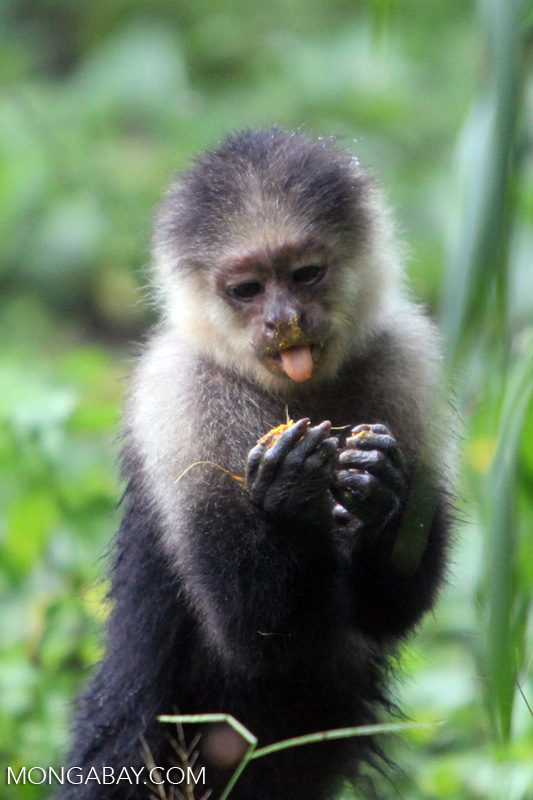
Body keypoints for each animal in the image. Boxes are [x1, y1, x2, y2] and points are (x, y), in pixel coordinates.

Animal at [59, 129, 451, 800]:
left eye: (305, 275)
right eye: (248, 289)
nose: (284, 320)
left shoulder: (409, 361)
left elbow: (391, 608)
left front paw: (381, 490)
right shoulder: (181, 397)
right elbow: (253, 634)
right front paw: (290, 491)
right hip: (134, 730)